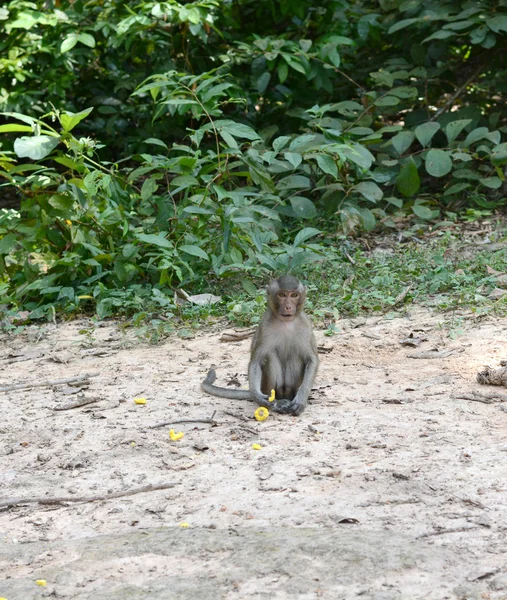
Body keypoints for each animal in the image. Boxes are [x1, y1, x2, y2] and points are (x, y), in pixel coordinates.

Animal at [201, 274, 318, 414]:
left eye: (294, 295)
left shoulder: (305, 326)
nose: (288, 307)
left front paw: (301, 400)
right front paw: (258, 397)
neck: (285, 322)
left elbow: (311, 360)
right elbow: (256, 361)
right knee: (270, 356)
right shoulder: (264, 327)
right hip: (268, 388)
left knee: (296, 354)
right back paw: (277, 403)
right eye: (282, 295)